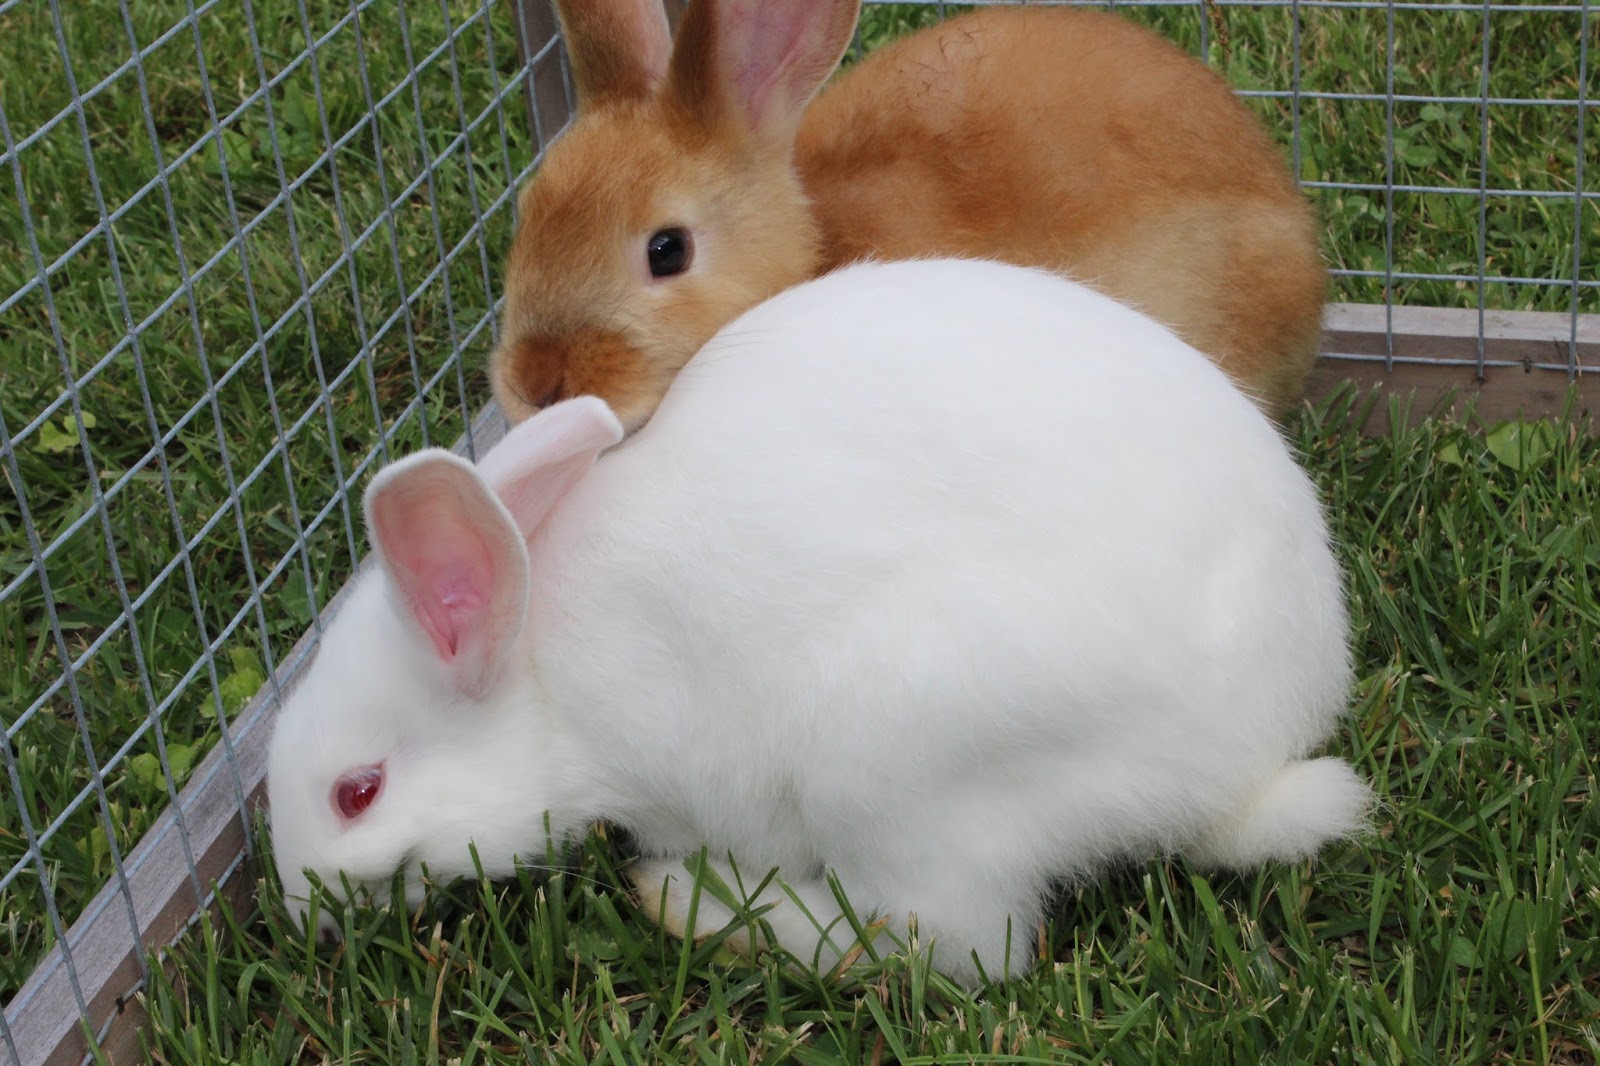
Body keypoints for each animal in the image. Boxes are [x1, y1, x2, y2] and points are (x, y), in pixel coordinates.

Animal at [270, 258, 1369, 987]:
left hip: (893, 756)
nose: (300, 908)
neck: (541, 671)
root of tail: (1244, 764)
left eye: (357, 792)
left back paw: (691, 901)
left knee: (954, 947)